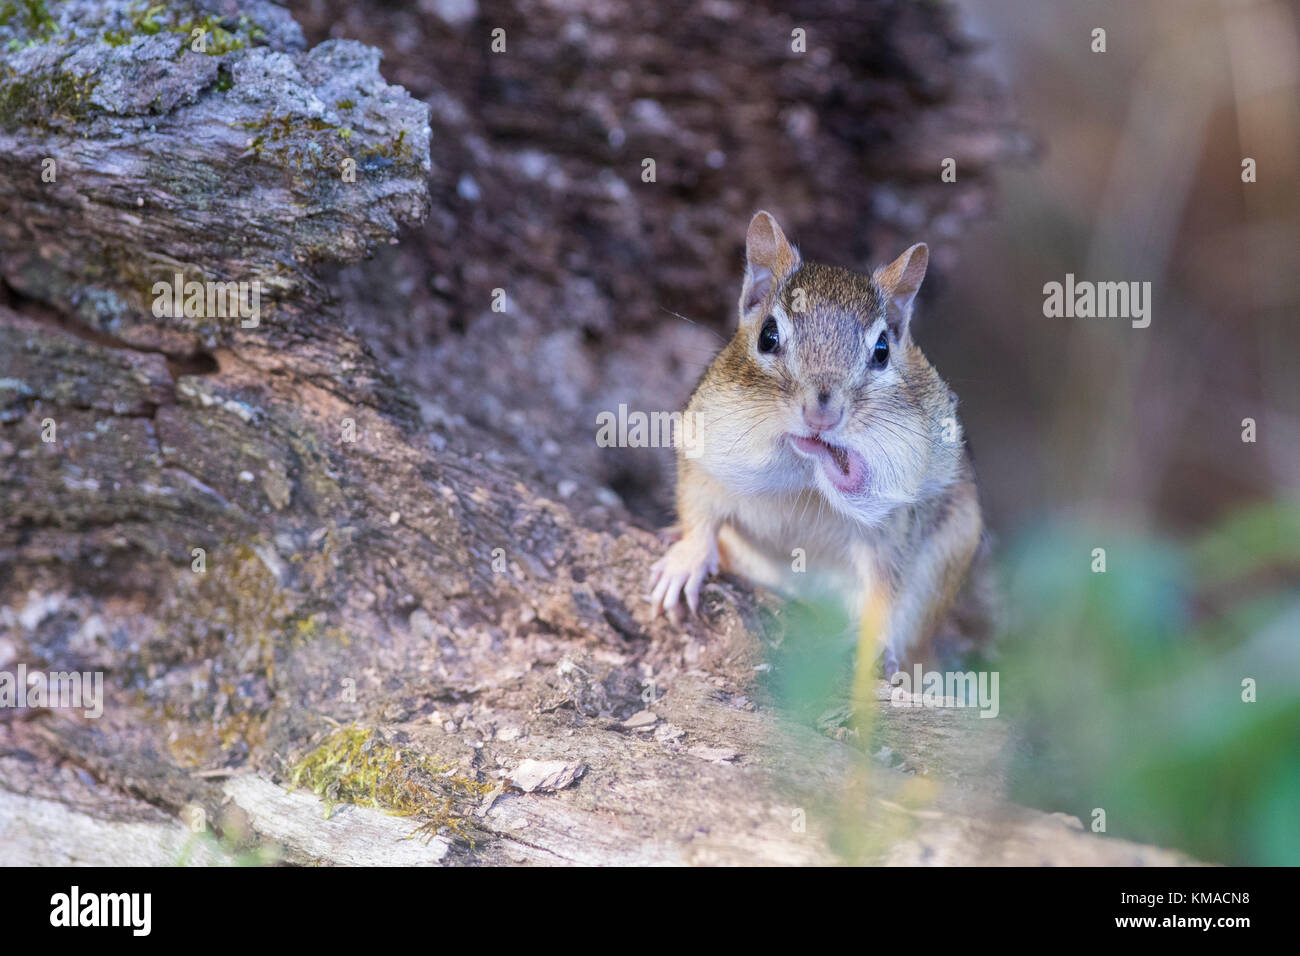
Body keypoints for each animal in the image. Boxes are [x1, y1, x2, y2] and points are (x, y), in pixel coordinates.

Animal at [649, 211, 994, 674]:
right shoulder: (703, 458)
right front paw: (684, 563)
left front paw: (875, 641)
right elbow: (699, 515)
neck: (799, 474)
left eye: (882, 350)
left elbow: (885, 589)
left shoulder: (893, 524)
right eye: (768, 336)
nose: (821, 417)